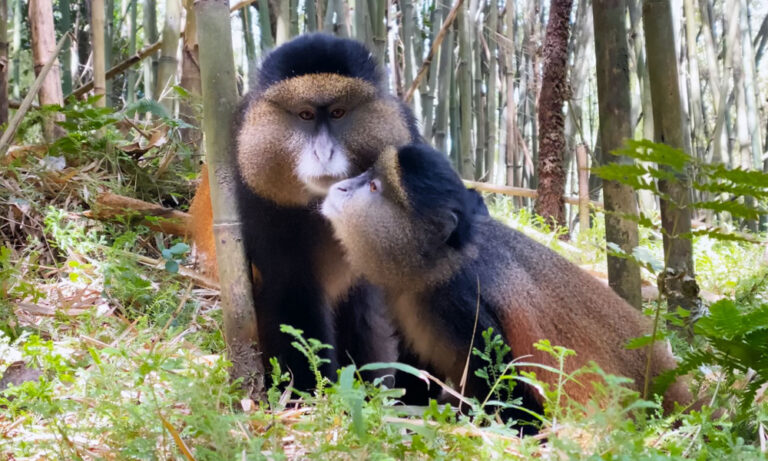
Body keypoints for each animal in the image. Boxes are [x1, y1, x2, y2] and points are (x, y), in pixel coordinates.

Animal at [188, 34, 423, 392]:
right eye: (306, 115)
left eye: (338, 113)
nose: (323, 153)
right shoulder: (253, 193)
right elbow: (290, 289)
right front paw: (311, 392)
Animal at [321, 143, 693, 429]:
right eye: (366, 177)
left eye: (373, 187)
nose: (342, 186)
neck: (439, 266)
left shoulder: (460, 306)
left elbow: (508, 391)